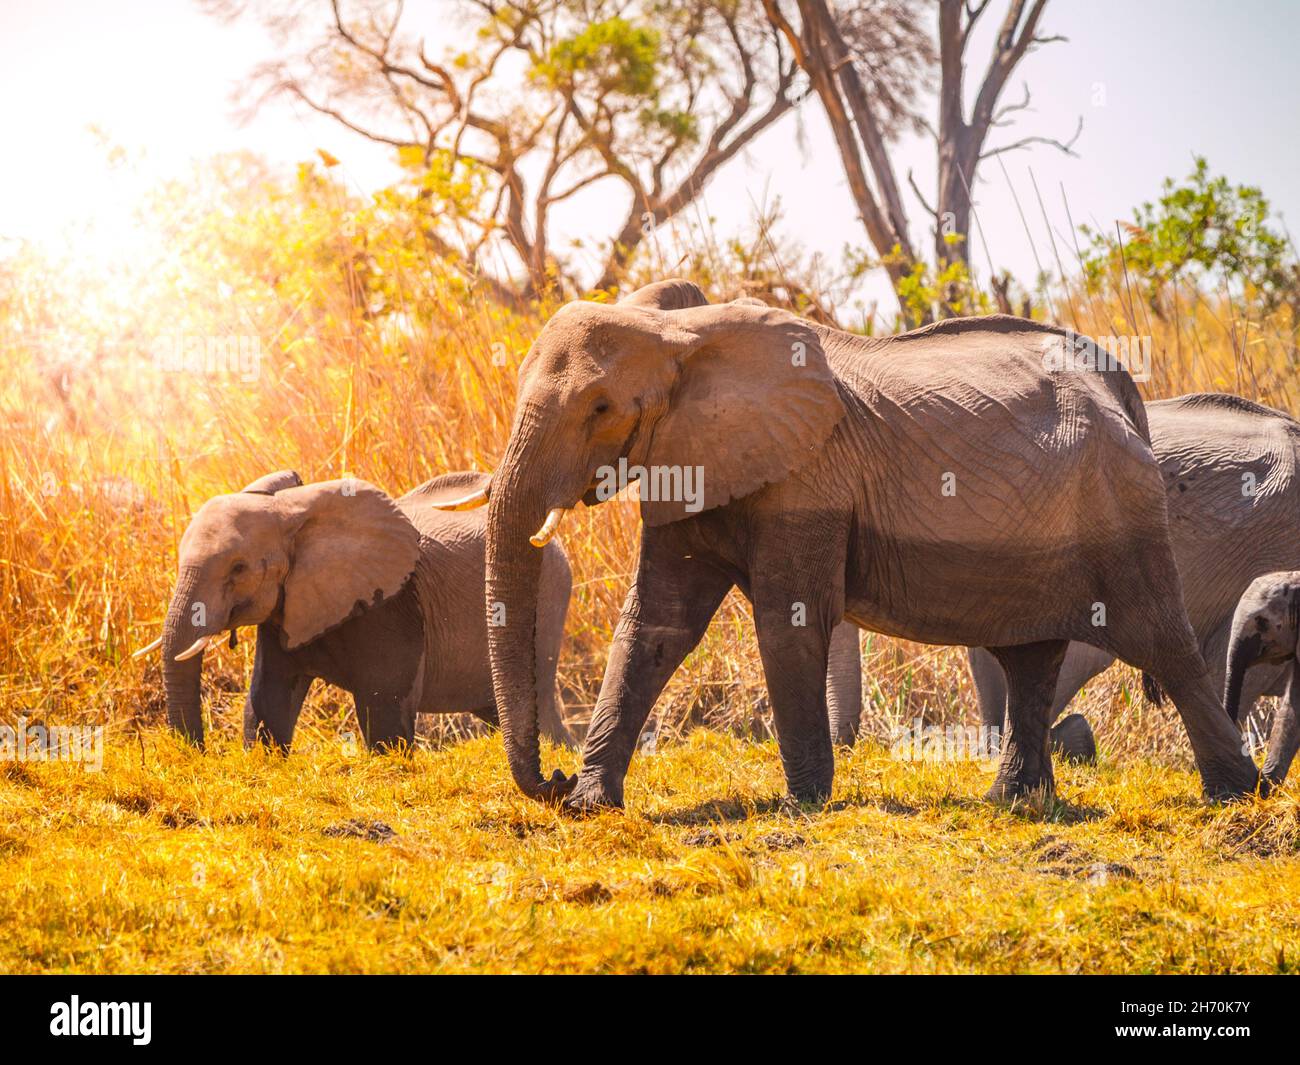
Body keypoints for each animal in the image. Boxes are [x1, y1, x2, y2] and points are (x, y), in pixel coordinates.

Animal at [139, 469, 573, 752]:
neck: (289, 512)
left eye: (239, 569)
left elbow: (386, 707)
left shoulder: (390, 606)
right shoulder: (288, 607)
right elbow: (268, 695)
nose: (201, 751)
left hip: (545, 599)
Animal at [439, 277, 1259, 810]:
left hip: (1120, 504)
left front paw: (803, 804)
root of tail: (1122, 390)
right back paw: (1014, 804)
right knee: (1030, 658)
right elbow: (656, 624)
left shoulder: (809, 474)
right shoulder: (687, 461)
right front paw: (590, 803)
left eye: (602, 408)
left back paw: (1236, 795)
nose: (547, 782)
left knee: (1162, 638)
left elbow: (787, 623)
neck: (684, 332)